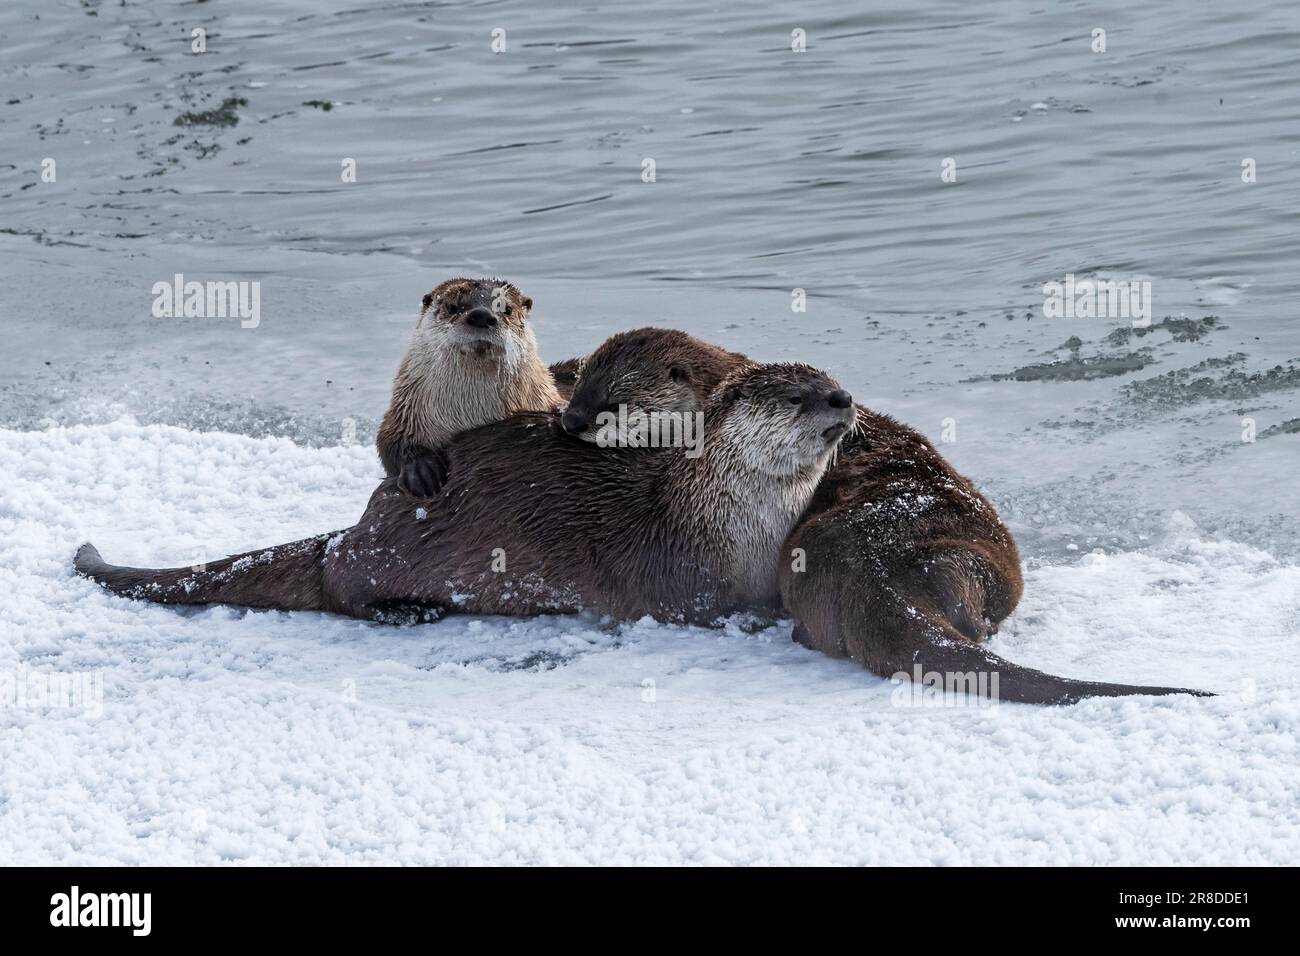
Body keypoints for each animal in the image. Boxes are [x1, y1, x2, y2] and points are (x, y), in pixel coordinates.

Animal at [75, 362, 857, 624]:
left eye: (830, 379)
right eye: (797, 396)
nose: (844, 399)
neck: (723, 517)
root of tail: (355, 525)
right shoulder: (686, 581)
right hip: (381, 555)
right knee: (340, 584)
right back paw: (405, 611)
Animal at [376, 277, 561, 496]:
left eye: (507, 309)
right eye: (453, 307)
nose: (482, 315)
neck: (472, 412)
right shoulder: (405, 414)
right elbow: (390, 439)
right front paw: (421, 471)